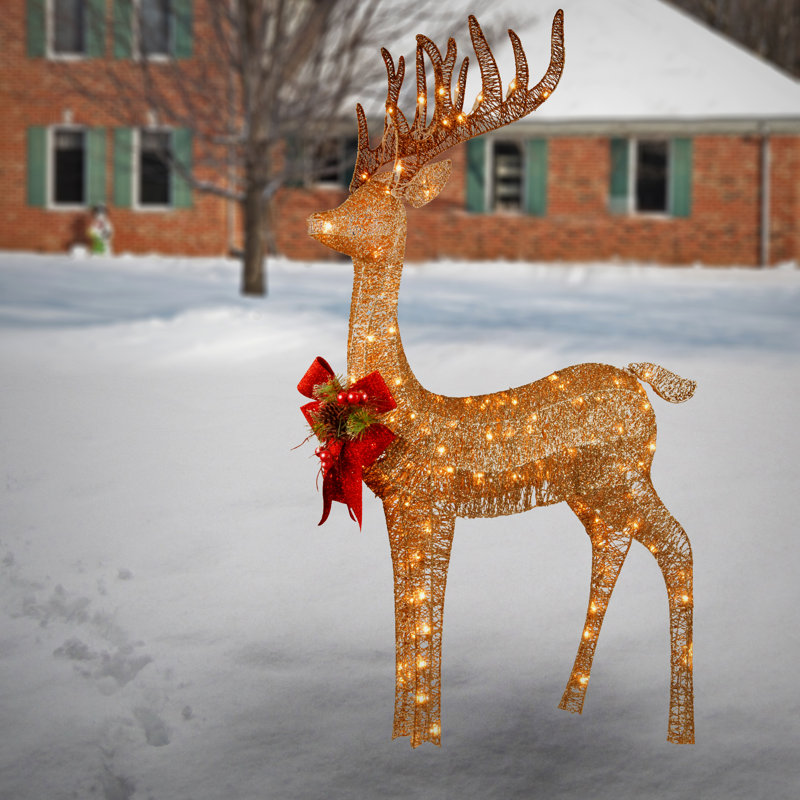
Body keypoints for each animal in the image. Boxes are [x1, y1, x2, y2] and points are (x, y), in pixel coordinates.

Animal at [306, 10, 695, 748]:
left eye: (379, 202)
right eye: (350, 188)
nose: (317, 220)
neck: (404, 407)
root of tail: (640, 380)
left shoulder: (432, 506)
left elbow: (426, 621)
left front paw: (425, 738)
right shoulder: (402, 509)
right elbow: (408, 620)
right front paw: (405, 739)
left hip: (627, 475)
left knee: (678, 548)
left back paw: (679, 732)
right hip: (593, 492)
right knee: (614, 552)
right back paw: (571, 706)